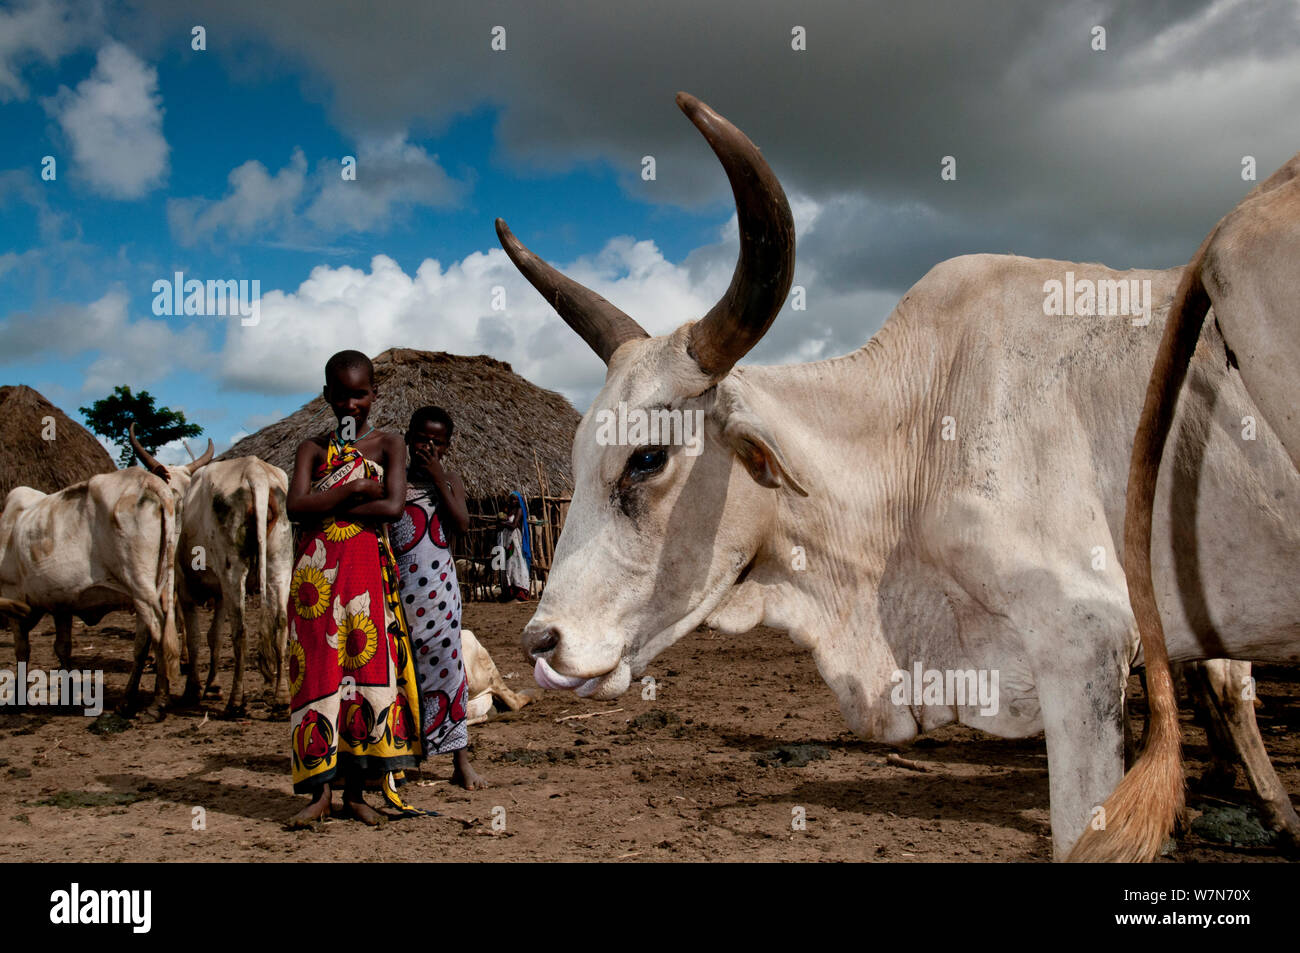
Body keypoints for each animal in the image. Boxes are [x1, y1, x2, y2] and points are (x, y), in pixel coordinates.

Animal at [0, 469, 182, 717]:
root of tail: (148, 479)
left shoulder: (13, 597)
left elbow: (22, 650)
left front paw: (18, 702)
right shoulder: (61, 604)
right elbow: (62, 648)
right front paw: (68, 698)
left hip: (140, 584)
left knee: (158, 632)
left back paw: (158, 702)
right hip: (155, 587)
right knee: (145, 642)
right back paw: (128, 700)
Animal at [128, 430, 292, 715]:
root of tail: (256, 474)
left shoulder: (185, 590)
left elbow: (194, 637)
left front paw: (193, 690)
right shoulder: (219, 594)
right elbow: (213, 637)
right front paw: (212, 686)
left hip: (233, 571)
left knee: (240, 630)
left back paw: (236, 700)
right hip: (279, 564)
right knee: (280, 623)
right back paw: (281, 698)